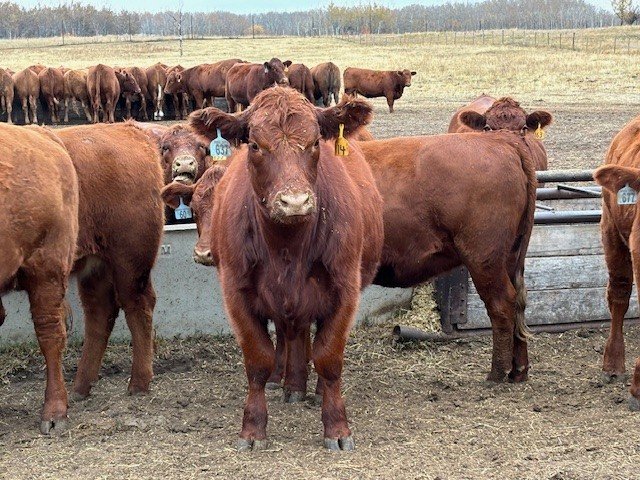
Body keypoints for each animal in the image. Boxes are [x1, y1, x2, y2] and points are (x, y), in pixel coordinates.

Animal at [47, 123, 164, 400]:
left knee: (138, 306)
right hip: (96, 266)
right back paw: (81, 387)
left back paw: (138, 383)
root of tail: (129, 128)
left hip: (130, 262)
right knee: (101, 313)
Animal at [185, 87, 384, 451]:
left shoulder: (345, 289)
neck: (287, 248)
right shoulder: (237, 293)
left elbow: (328, 357)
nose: (294, 202)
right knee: (291, 334)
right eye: (254, 145)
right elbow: (258, 360)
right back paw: (290, 383)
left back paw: (308, 388)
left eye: (315, 142)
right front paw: (252, 429)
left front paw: (337, 427)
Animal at [358, 131, 538, 383]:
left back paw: (497, 373)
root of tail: (502, 139)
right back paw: (518, 371)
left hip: (484, 257)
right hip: (511, 256)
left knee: (502, 304)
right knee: (519, 302)